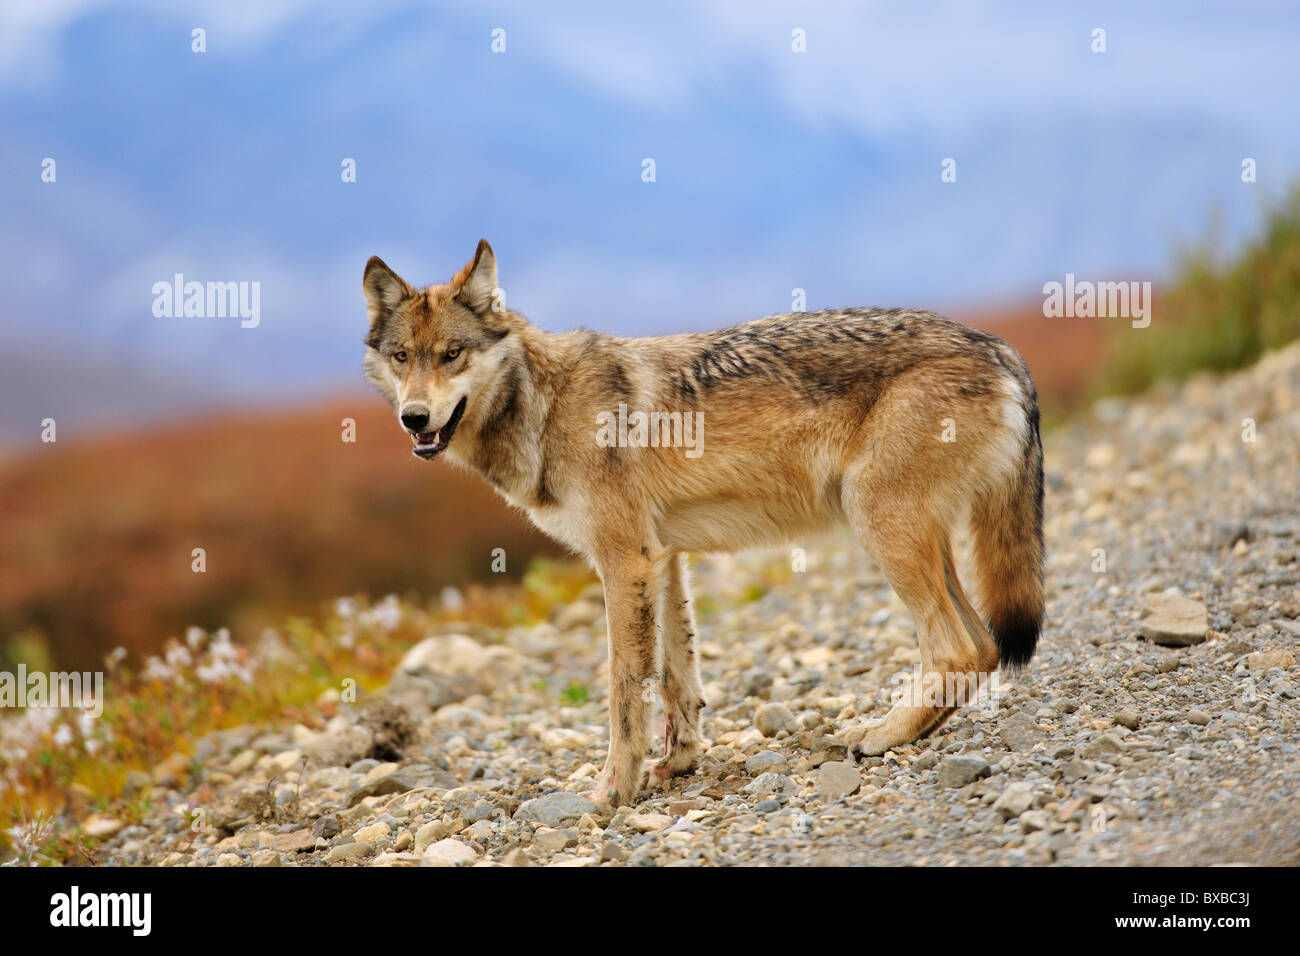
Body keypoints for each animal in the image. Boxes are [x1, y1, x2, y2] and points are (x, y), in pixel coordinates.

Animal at [362, 240, 1044, 808]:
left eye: (452, 355)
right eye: (402, 357)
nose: (413, 418)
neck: (545, 407)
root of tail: (999, 346)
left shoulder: (625, 562)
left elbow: (624, 690)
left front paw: (613, 791)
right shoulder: (662, 558)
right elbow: (675, 675)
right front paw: (678, 763)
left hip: (880, 525)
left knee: (958, 649)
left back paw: (880, 736)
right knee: (984, 647)